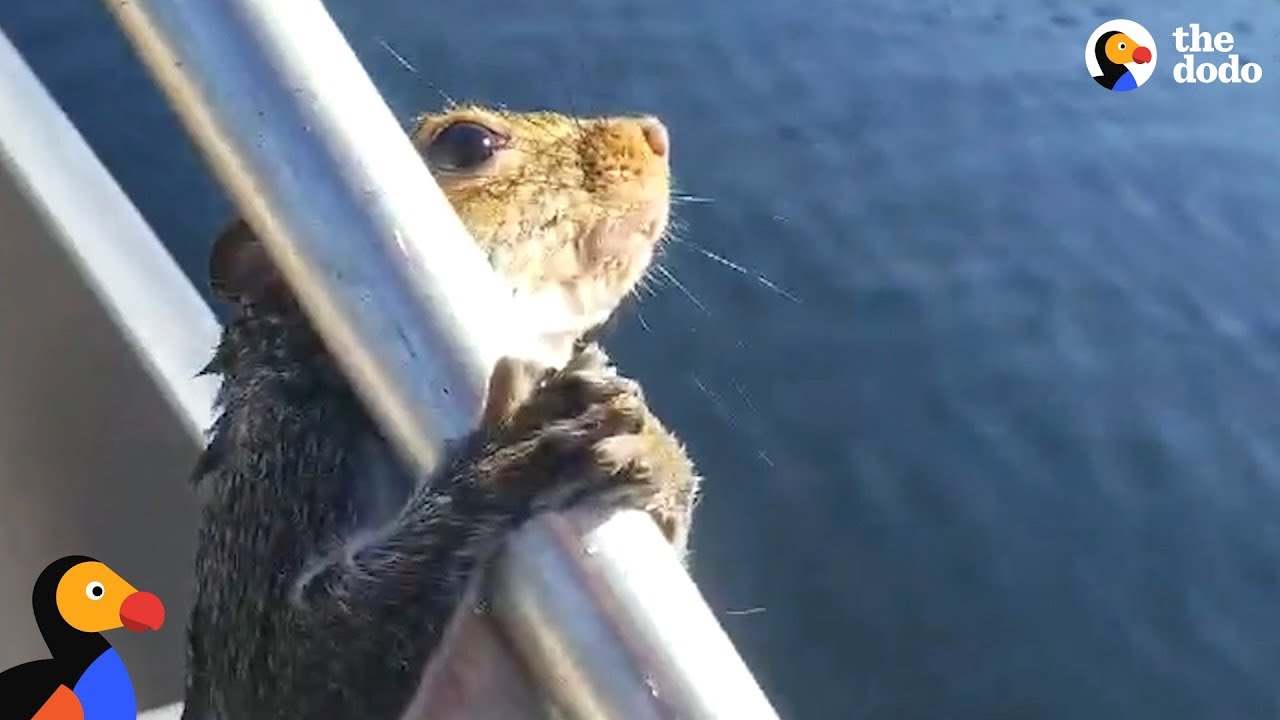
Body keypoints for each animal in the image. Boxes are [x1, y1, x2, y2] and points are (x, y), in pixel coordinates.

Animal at [180, 106, 699, 719]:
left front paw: (660, 457)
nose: (654, 133)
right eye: (466, 142)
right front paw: (513, 452)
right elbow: (280, 676)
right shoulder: (278, 473)